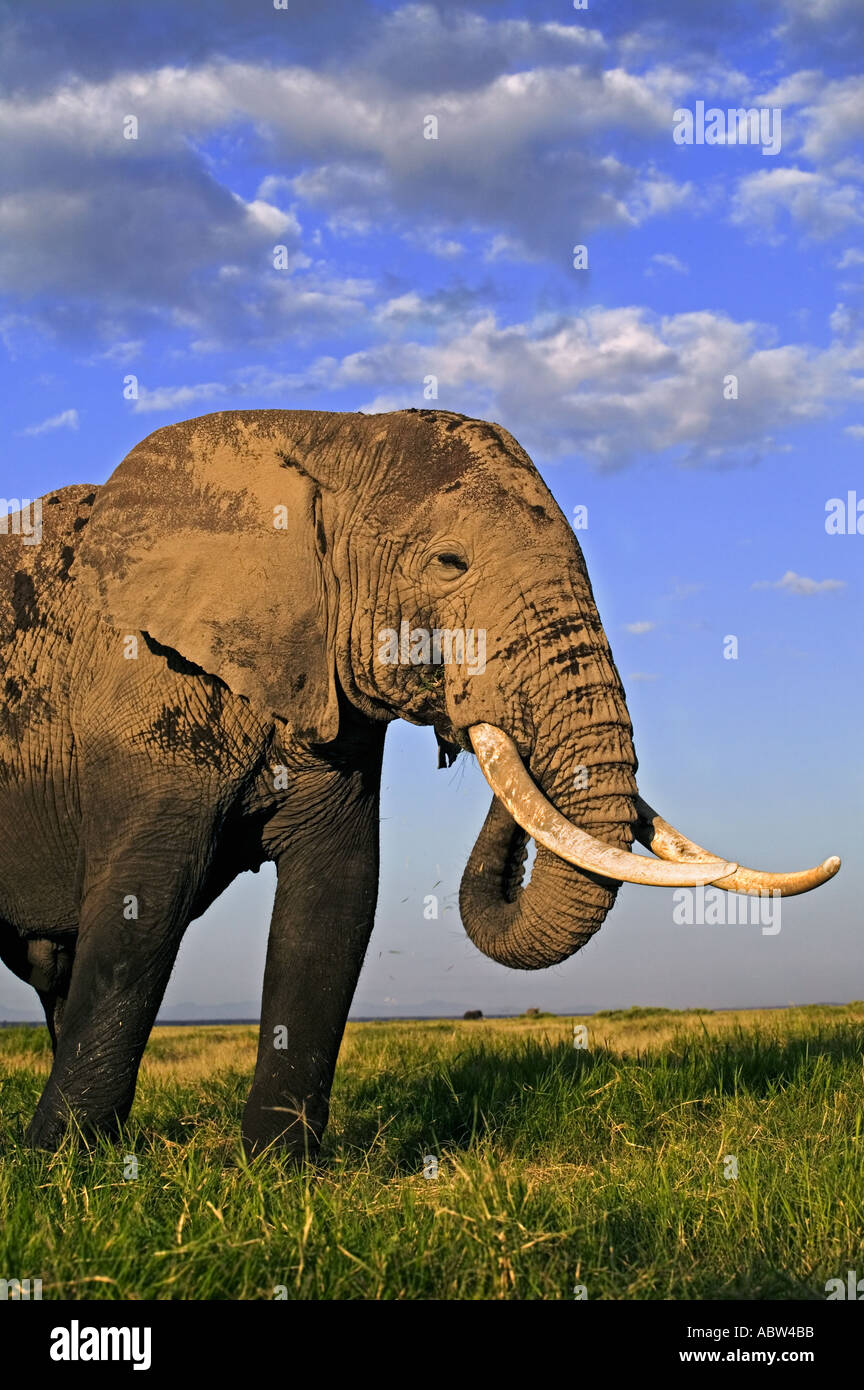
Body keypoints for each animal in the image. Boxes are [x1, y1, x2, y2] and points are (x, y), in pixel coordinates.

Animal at [0, 408, 840, 1158]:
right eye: (449, 564)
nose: (469, 715)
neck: (321, 435)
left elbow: (334, 902)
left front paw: (279, 1172)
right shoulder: (143, 684)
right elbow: (143, 908)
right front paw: (68, 1170)